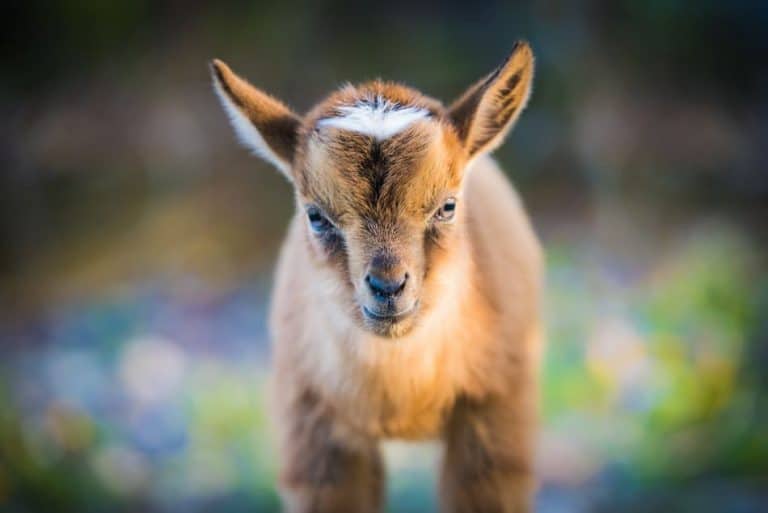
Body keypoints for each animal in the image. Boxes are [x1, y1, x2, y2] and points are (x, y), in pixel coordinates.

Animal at [211, 41, 542, 513]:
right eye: (316, 215)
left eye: (448, 206)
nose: (388, 287)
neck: (400, 396)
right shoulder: (313, 429)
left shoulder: (495, 420)